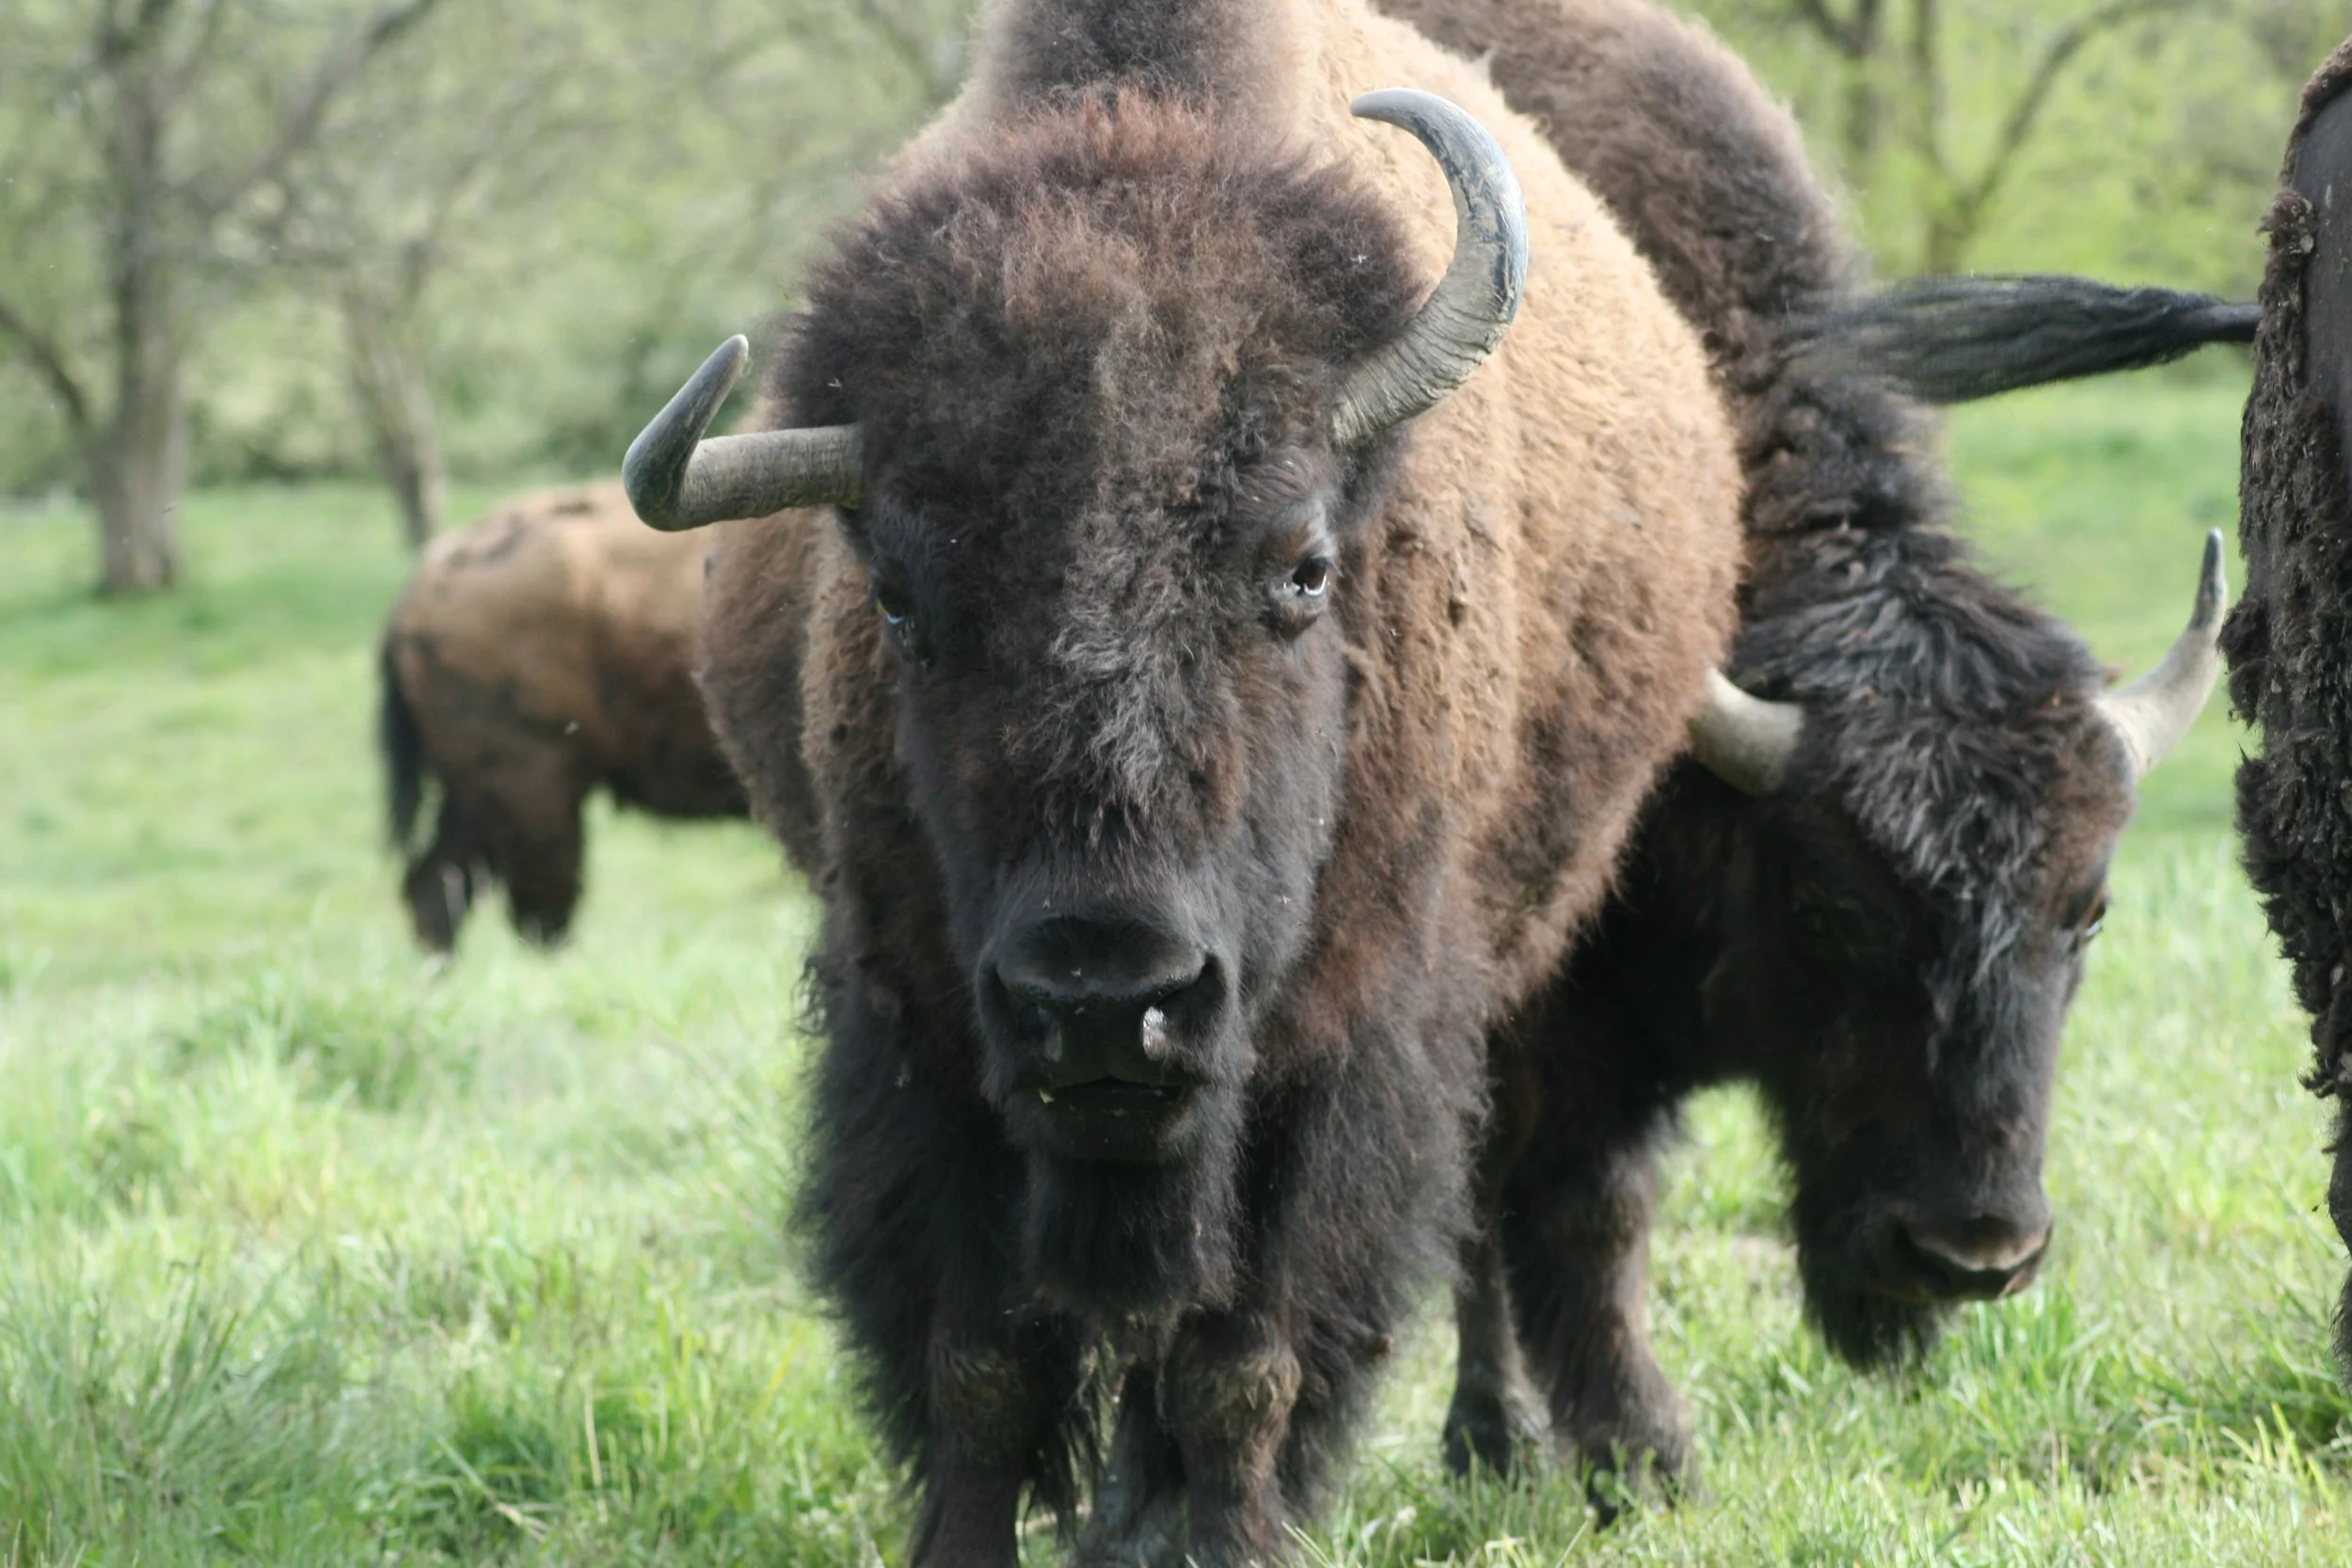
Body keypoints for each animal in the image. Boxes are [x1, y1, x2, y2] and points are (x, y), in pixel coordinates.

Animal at [631, 0, 1758, 1559]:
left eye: (1305, 564)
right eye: (899, 598)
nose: (1108, 997)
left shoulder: (1331, 1042)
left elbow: (1244, 1365)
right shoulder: (919, 1023)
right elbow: (980, 1360)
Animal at [1373, 0, 2226, 1492]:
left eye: (2089, 910)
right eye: (1834, 905)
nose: (1971, 1251)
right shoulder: (1543, 1002)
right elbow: (1579, 1200)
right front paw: (1642, 1453)